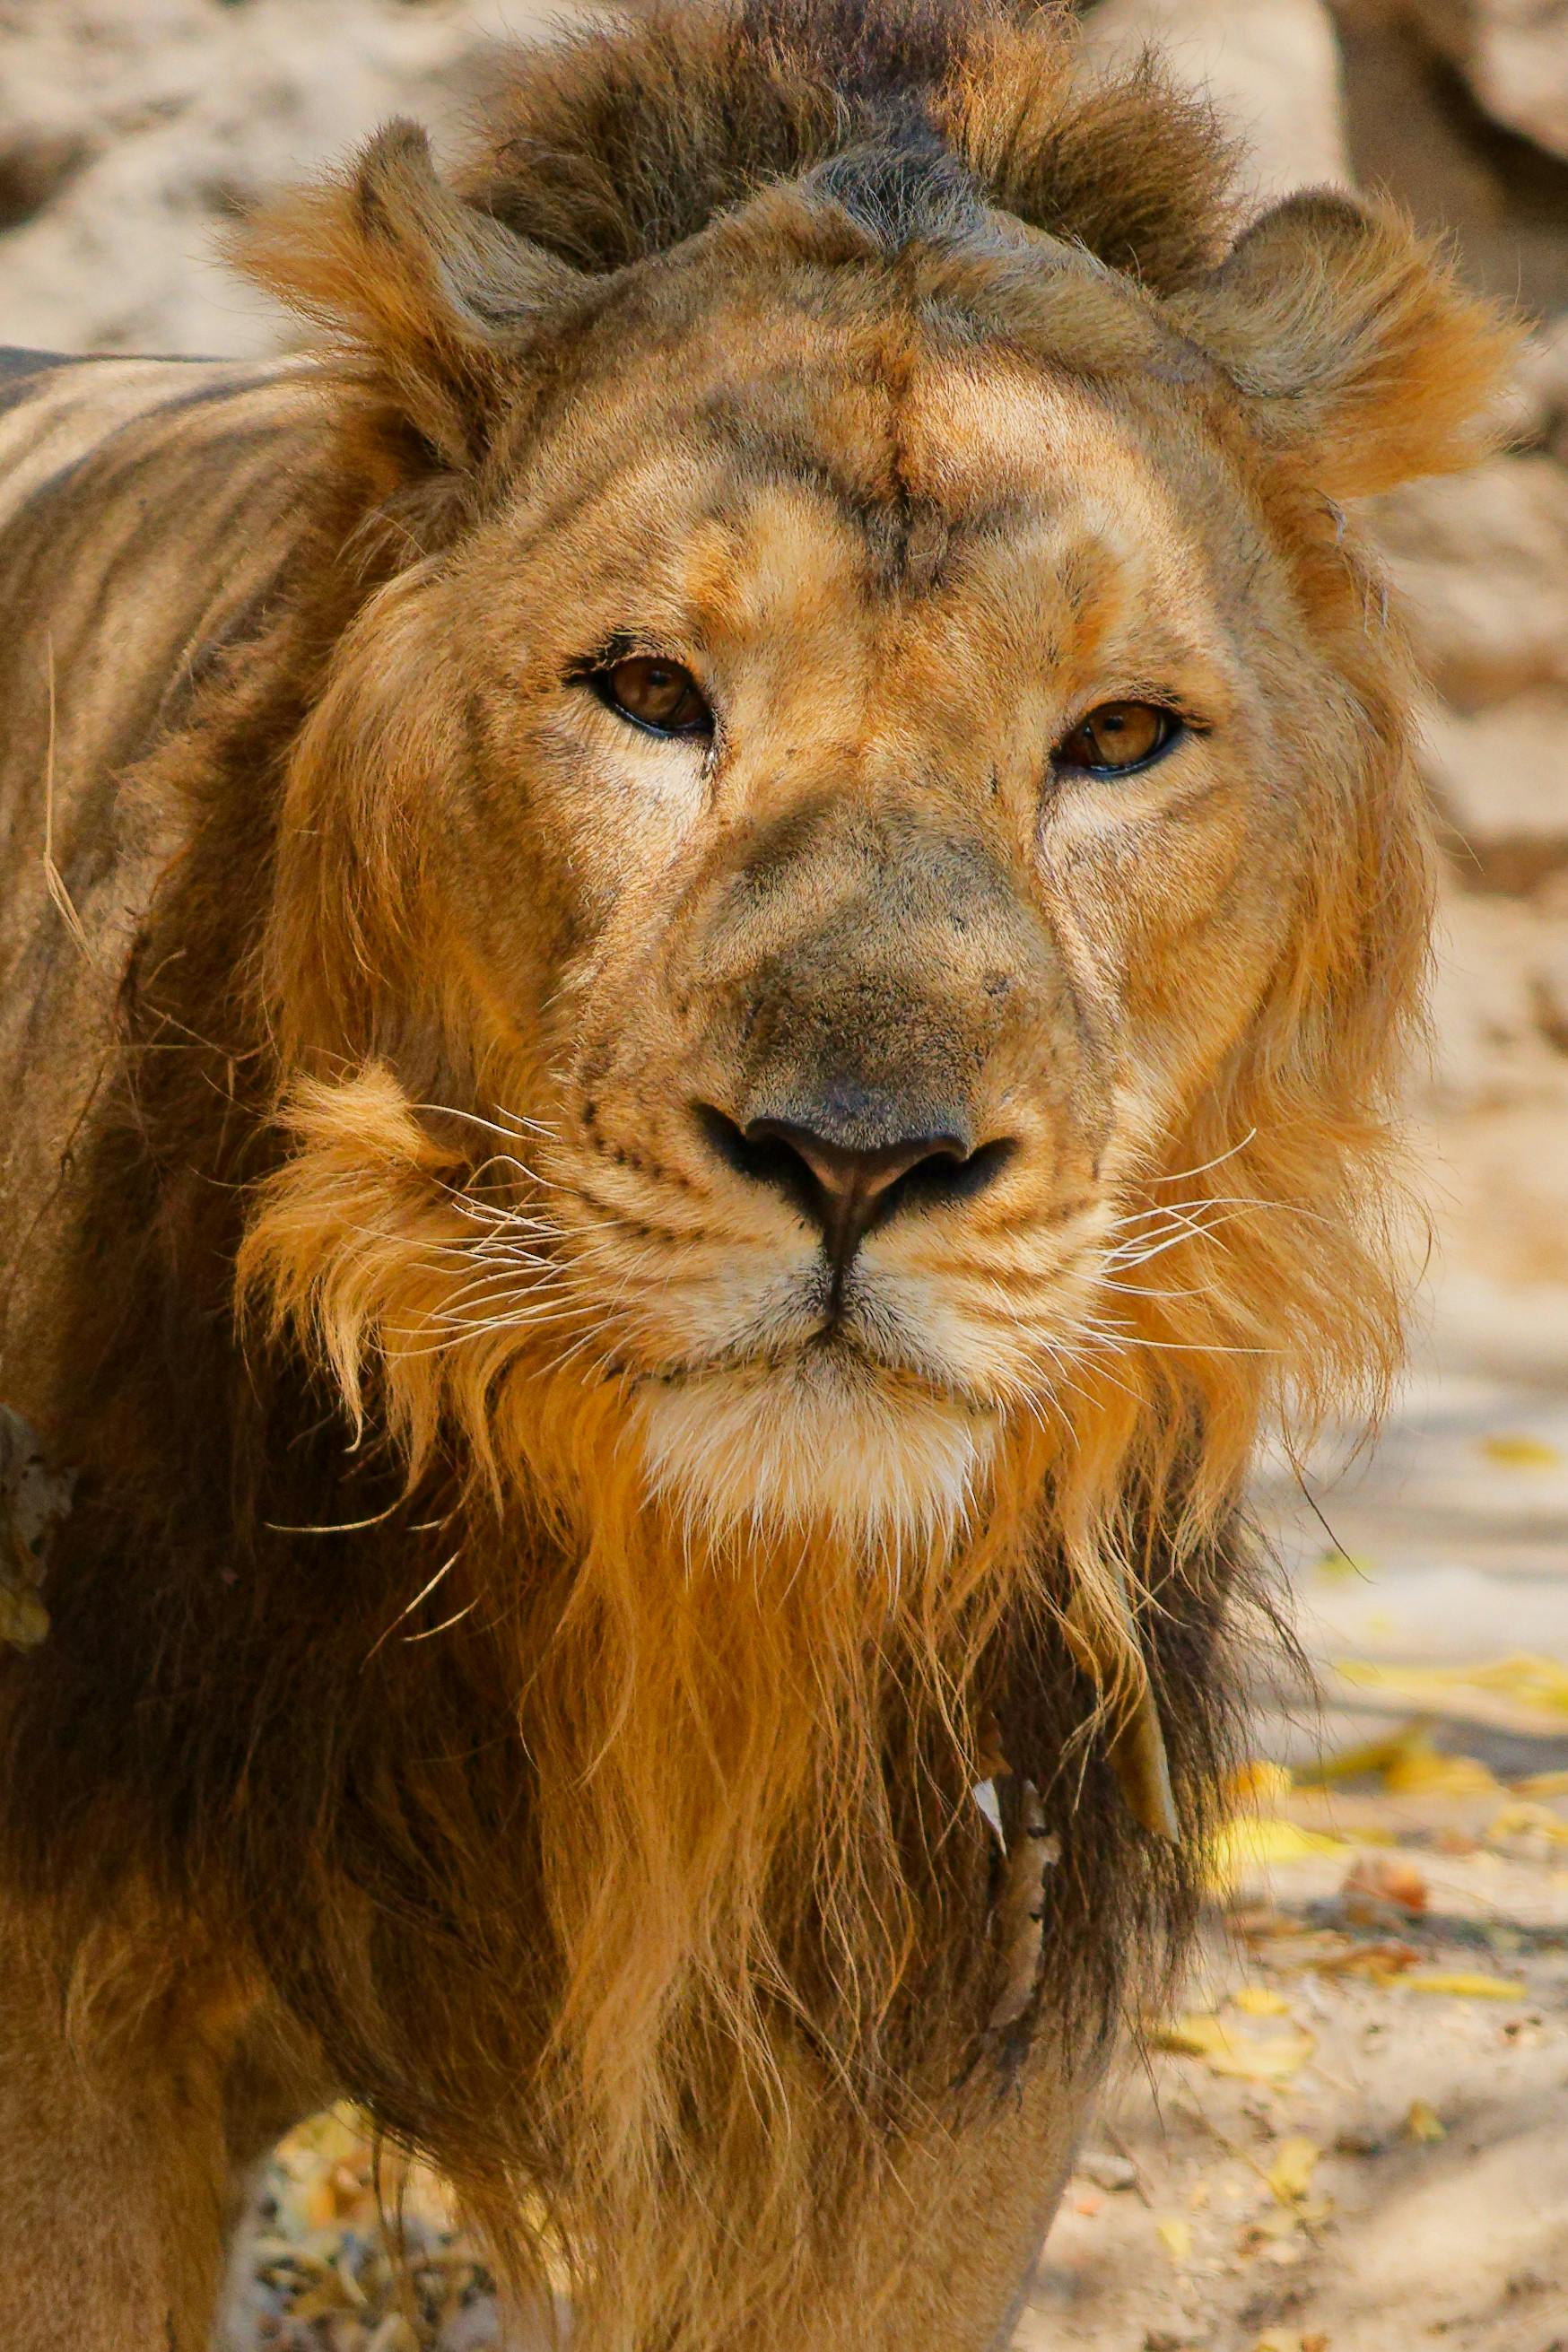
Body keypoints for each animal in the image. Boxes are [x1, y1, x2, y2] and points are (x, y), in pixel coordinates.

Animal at [0, 3, 1514, 2346]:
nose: (857, 1160)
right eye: (646, 691)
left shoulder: (951, 2027)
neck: (692, 1616)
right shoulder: (67, 2007)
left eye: (1116, 739)